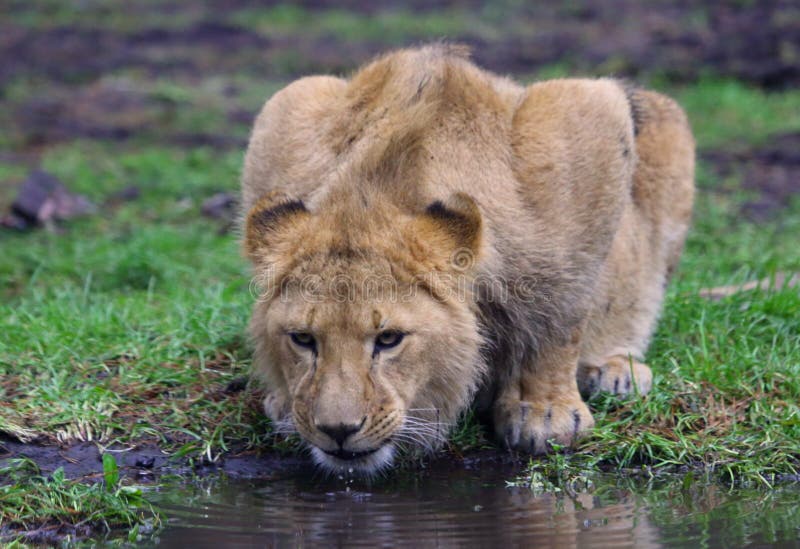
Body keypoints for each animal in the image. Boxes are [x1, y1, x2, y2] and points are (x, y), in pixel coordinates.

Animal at [240, 44, 694, 474]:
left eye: (389, 339)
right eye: (303, 338)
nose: (337, 431)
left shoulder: (589, 110)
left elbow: (561, 312)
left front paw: (545, 413)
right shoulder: (286, 113)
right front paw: (286, 404)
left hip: (663, 118)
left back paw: (617, 372)